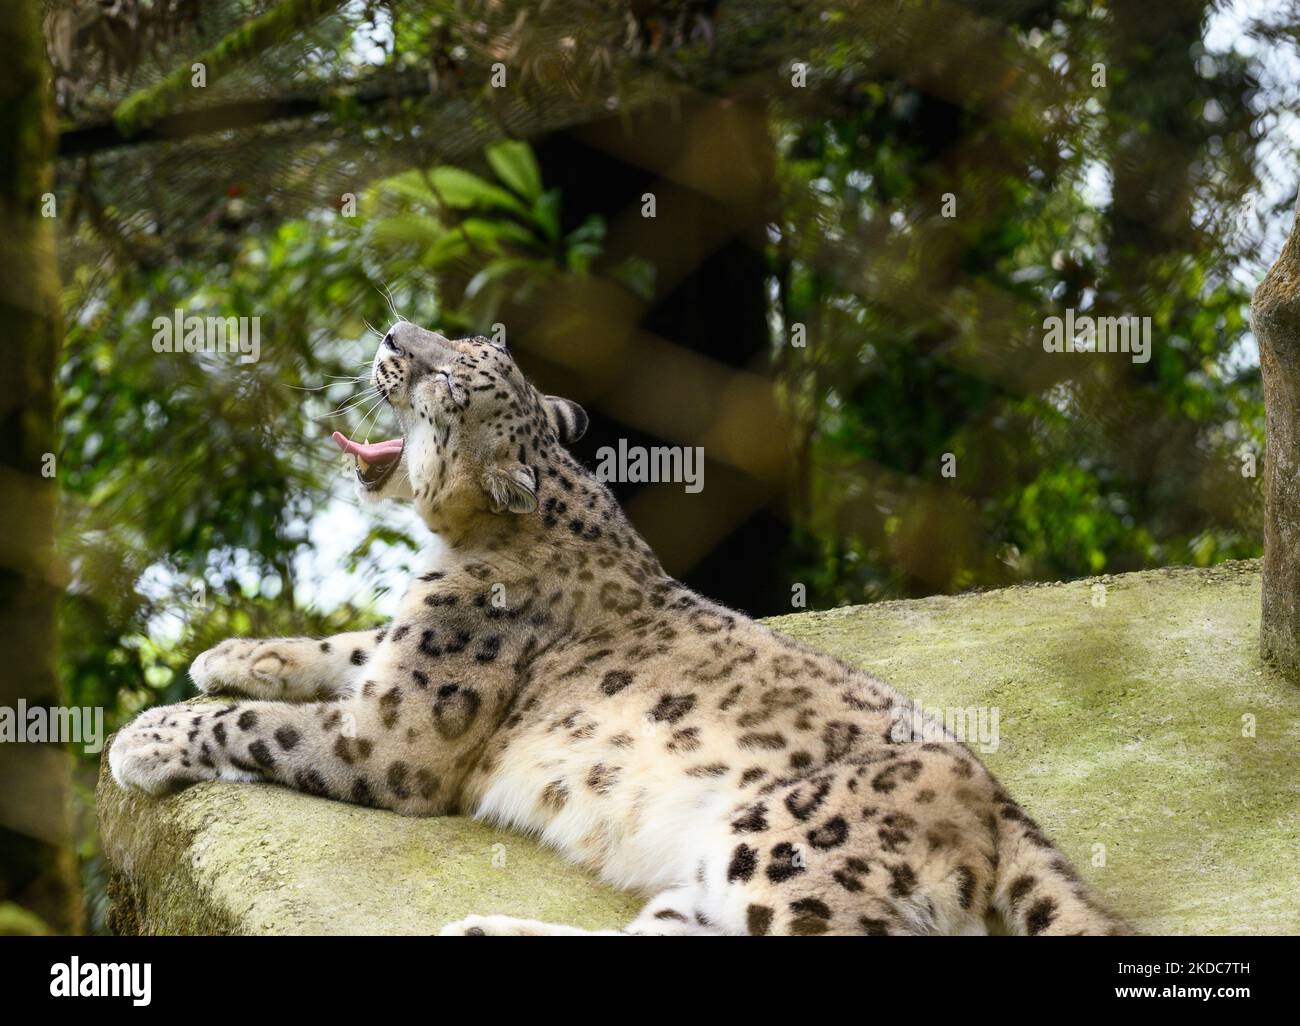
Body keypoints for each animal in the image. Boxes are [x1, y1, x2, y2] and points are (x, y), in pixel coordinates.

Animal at [109, 321, 1131, 936]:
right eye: (452, 339)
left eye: (447, 378)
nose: (396, 332)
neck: (449, 543)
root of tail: (994, 799)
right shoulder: (397, 648)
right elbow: (344, 646)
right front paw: (233, 652)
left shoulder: (395, 739)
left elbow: (263, 729)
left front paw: (146, 735)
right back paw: (485, 931)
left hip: (779, 852)